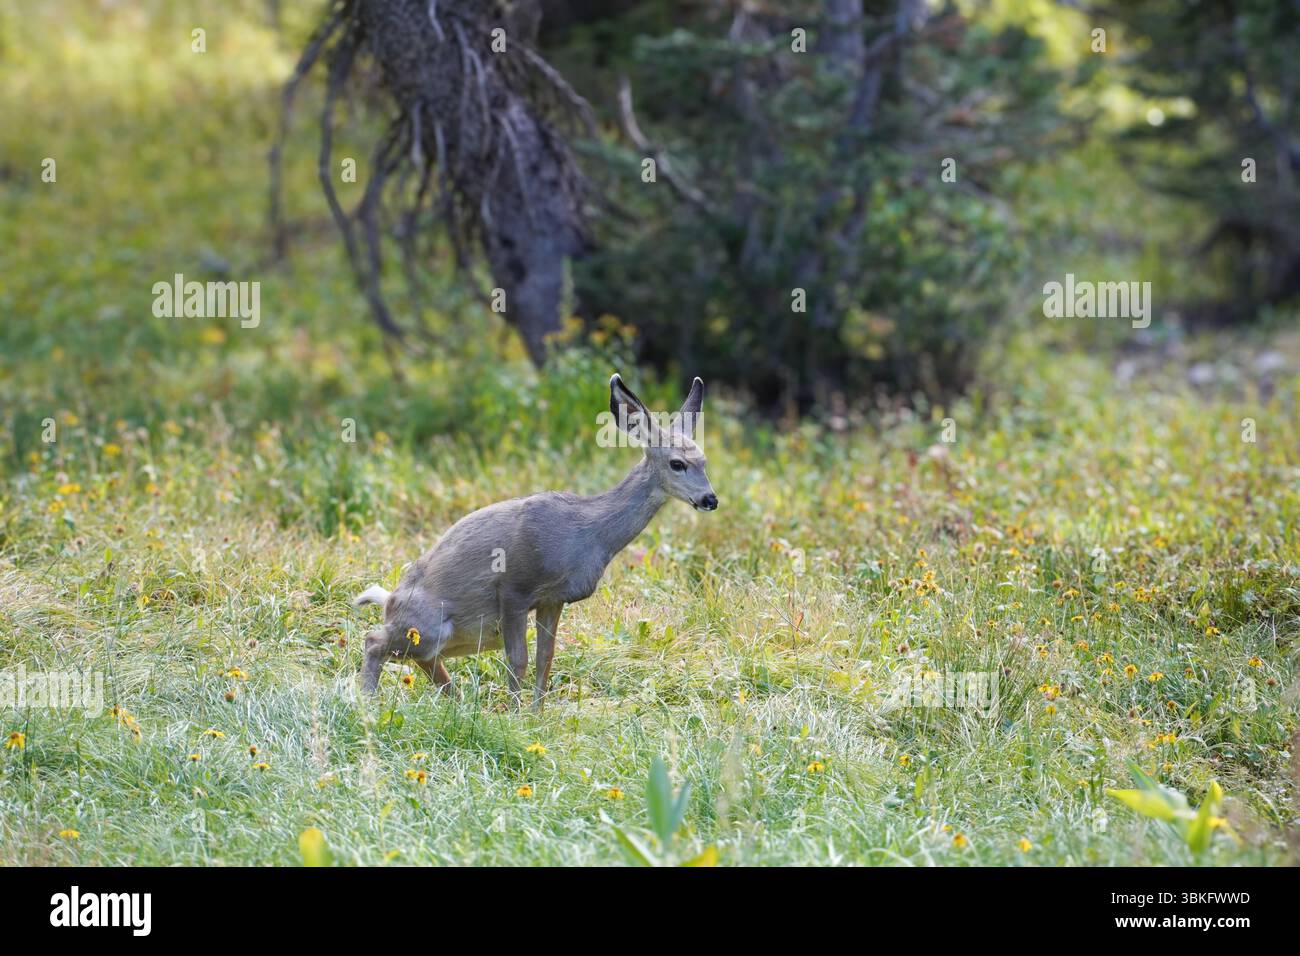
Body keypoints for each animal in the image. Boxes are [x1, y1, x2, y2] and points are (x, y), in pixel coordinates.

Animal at [352, 373, 718, 709]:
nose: (710, 499)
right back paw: (367, 703)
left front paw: (536, 714)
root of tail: (388, 601)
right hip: (428, 626)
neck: (586, 534)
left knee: (426, 662)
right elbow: (518, 659)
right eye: (677, 463)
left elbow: (546, 657)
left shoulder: (553, 598)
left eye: (705, 461)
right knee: (374, 640)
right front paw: (515, 716)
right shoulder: (514, 587)